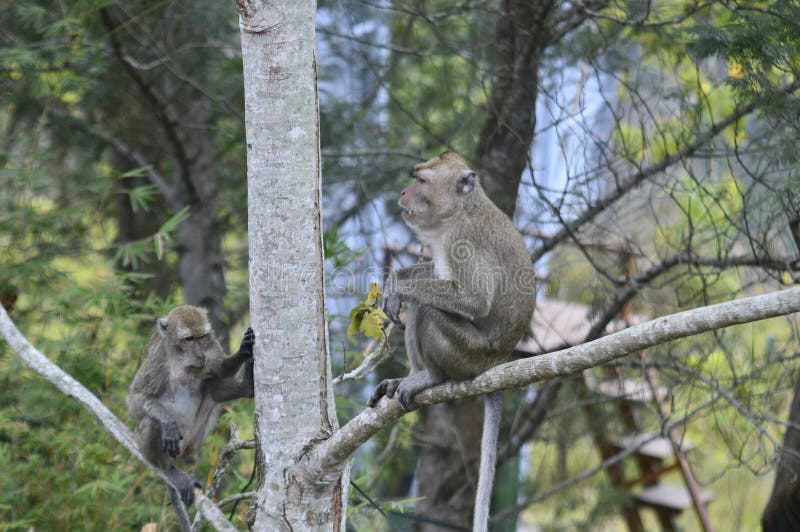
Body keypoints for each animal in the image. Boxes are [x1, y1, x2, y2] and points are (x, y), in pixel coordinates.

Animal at [127, 305, 255, 514]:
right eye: (188, 339)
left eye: (202, 337)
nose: (200, 355)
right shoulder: (157, 357)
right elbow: (135, 399)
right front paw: (168, 422)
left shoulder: (212, 346)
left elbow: (219, 372)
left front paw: (243, 350)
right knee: (151, 422)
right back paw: (169, 470)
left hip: (194, 441)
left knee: (210, 388)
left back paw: (247, 386)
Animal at [367, 152, 536, 532]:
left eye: (421, 181)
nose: (404, 192)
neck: (461, 209)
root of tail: (497, 361)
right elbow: (435, 275)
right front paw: (396, 279)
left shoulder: (464, 240)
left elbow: (473, 300)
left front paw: (398, 288)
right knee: (422, 307)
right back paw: (408, 376)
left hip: (468, 354)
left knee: (429, 310)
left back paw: (431, 376)